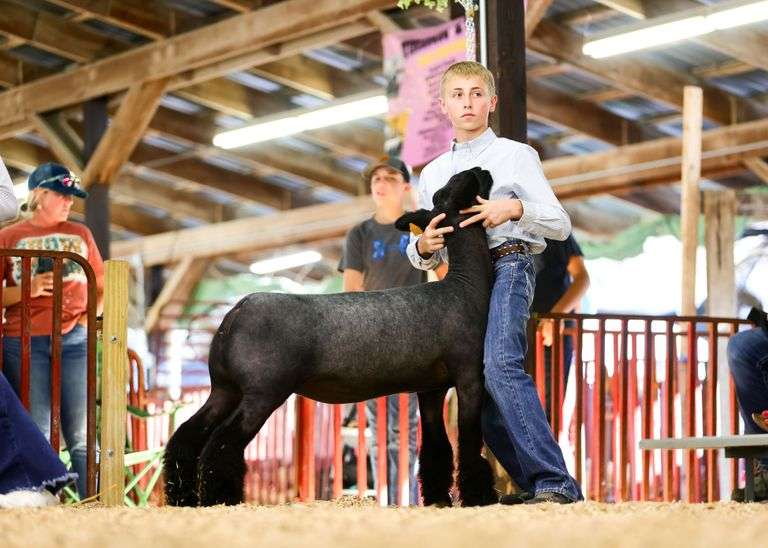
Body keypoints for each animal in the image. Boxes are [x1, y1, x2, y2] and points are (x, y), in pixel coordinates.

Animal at [163, 167, 498, 508]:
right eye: (458, 186)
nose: (478, 170)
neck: (464, 285)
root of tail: (235, 312)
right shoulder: (470, 375)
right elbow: (470, 441)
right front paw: (478, 496)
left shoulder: (431, 387)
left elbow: (436, 446)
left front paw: (437, 498)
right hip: (262, 390)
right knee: (222, 442)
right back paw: (220, 499)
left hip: (224, 388)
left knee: (186, 436)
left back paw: (182, 497)